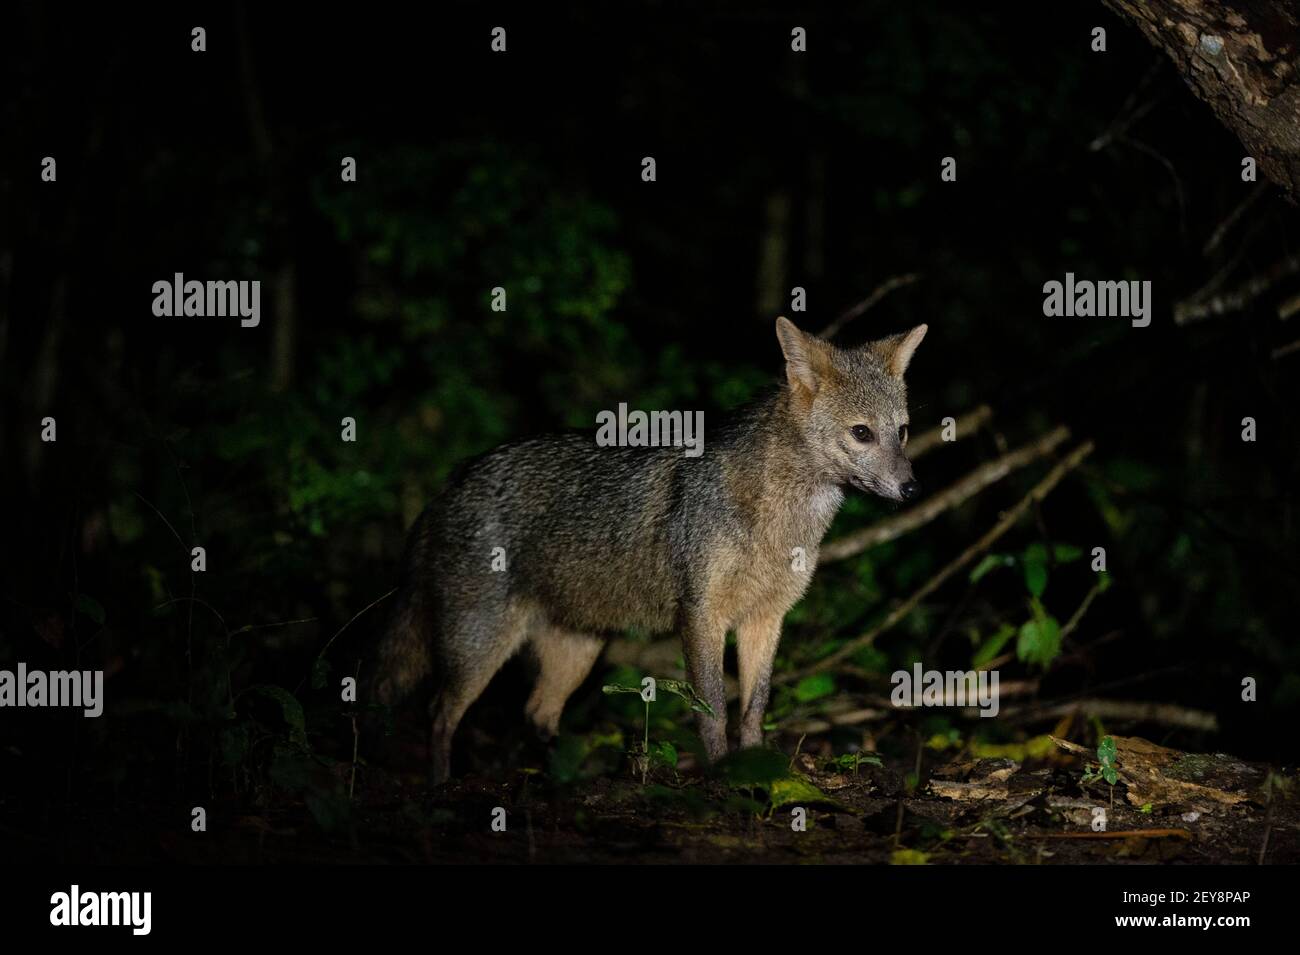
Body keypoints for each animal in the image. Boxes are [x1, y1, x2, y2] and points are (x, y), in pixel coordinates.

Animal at [372, 316, 927, 783]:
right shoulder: (701, 615)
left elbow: (754, 710)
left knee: (537, 713)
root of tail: (451, 483)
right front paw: (720, 778)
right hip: (480, 650)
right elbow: (712, 711)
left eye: (901, 431)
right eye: (861, 433)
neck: (779, 519)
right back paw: (442, 786)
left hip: (577, 652)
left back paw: (565, 779)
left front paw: (757, 775)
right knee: (439, 713)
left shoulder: (766, 618)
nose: (912, 488)